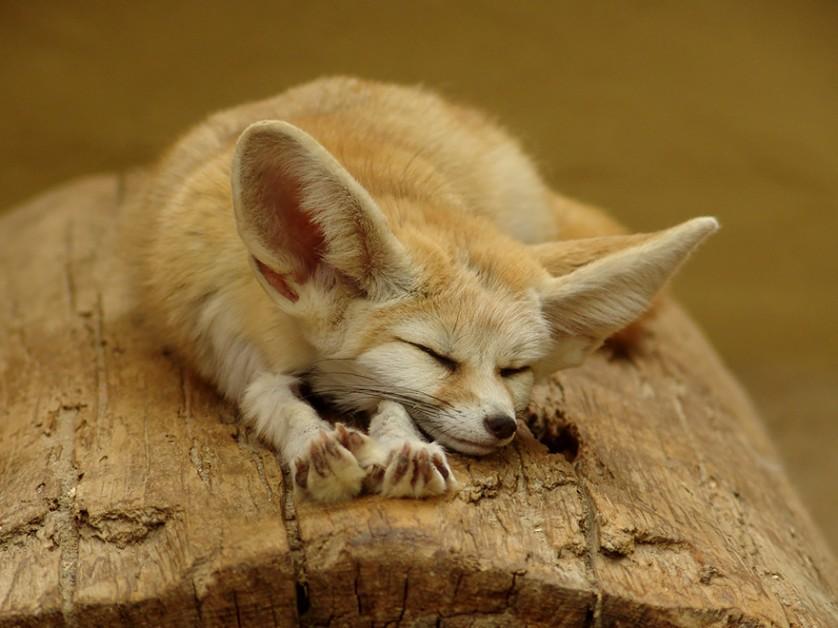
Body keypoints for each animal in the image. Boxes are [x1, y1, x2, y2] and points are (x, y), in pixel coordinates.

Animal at [125, 76, 718, 502]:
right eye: (434, 355)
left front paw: (404, 447)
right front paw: (318, 447)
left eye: (515, 370)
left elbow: (395, 402)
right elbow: (271, 398)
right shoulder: (228, 345)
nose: (502, 424)